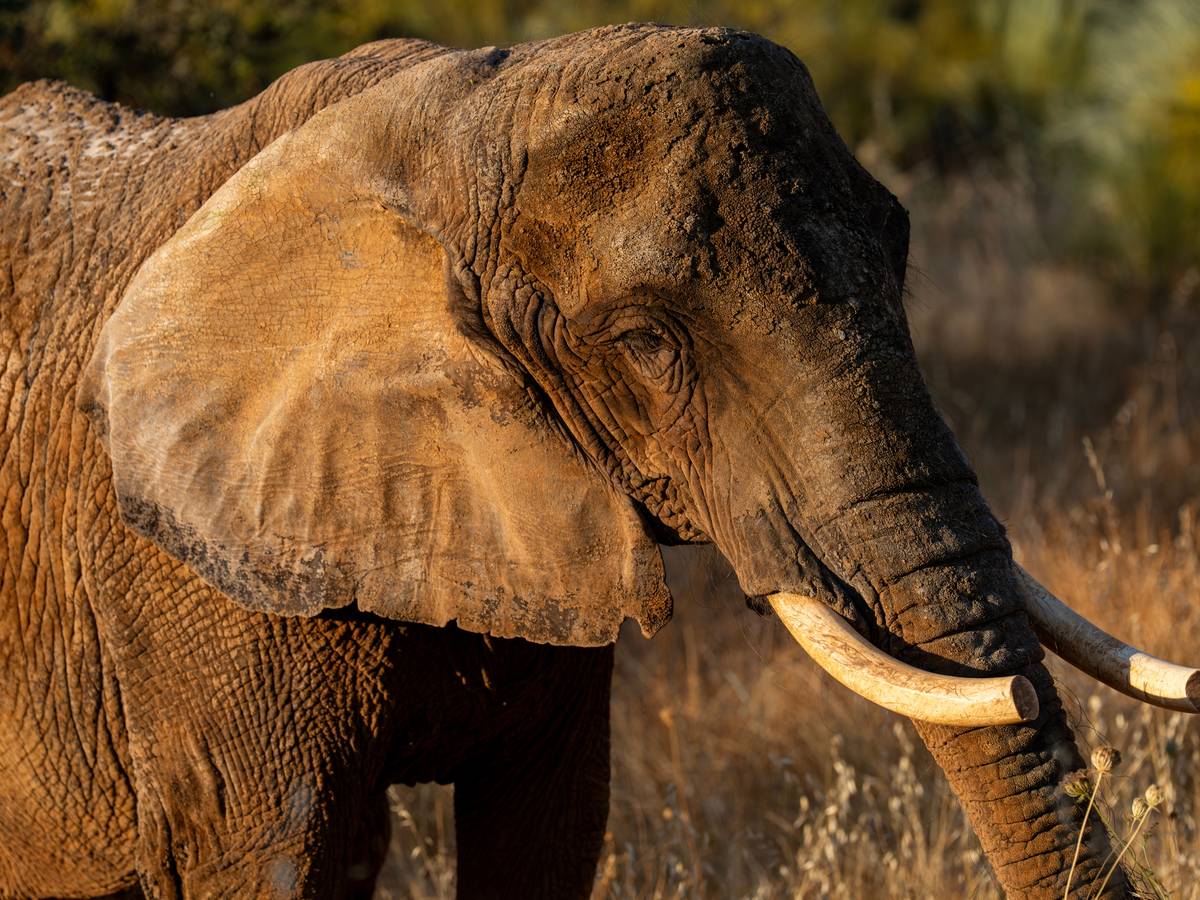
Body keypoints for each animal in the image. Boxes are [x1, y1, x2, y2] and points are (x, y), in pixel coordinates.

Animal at [1, 23, 1195, 899]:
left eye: (900, 256)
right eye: (644, 343)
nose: (1020, 692)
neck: (446, 122)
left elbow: (550, 827)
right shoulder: (187, 581)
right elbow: (276, 853)